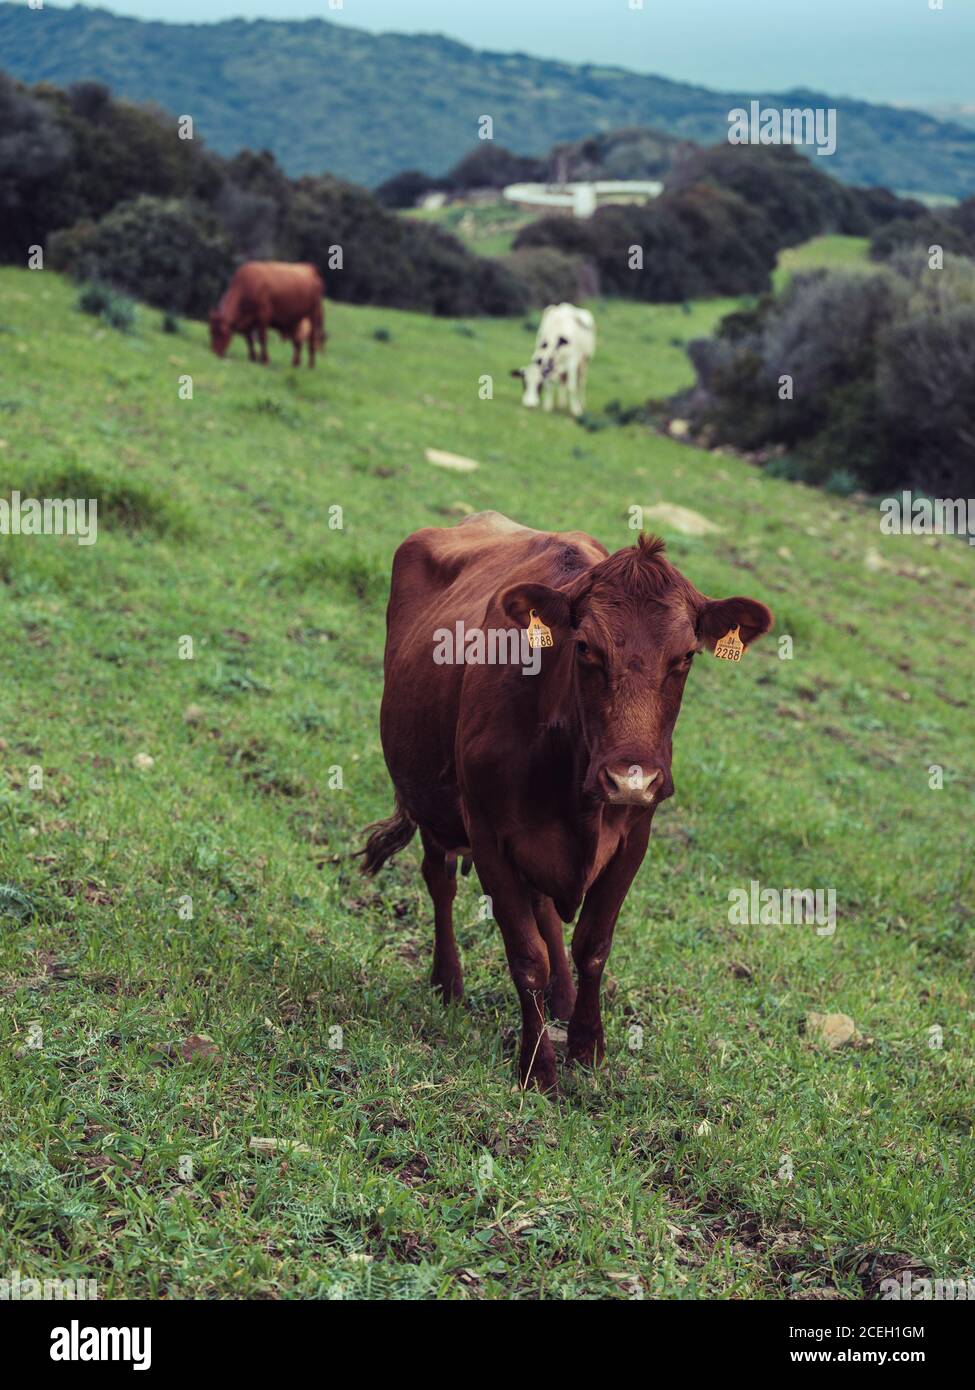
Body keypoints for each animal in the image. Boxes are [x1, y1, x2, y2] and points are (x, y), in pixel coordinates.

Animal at [360, 511, 772, 1094]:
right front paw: (538, 1066)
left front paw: (587, 1044)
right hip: (431, 803)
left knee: (544, 910)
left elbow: (592, 945)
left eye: (687, 656)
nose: (630, 778)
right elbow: (525, 954)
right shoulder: (488, 834)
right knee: (439, 880)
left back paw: (562, 998)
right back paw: (448, 982)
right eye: (585, 648)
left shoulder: (634, 837)